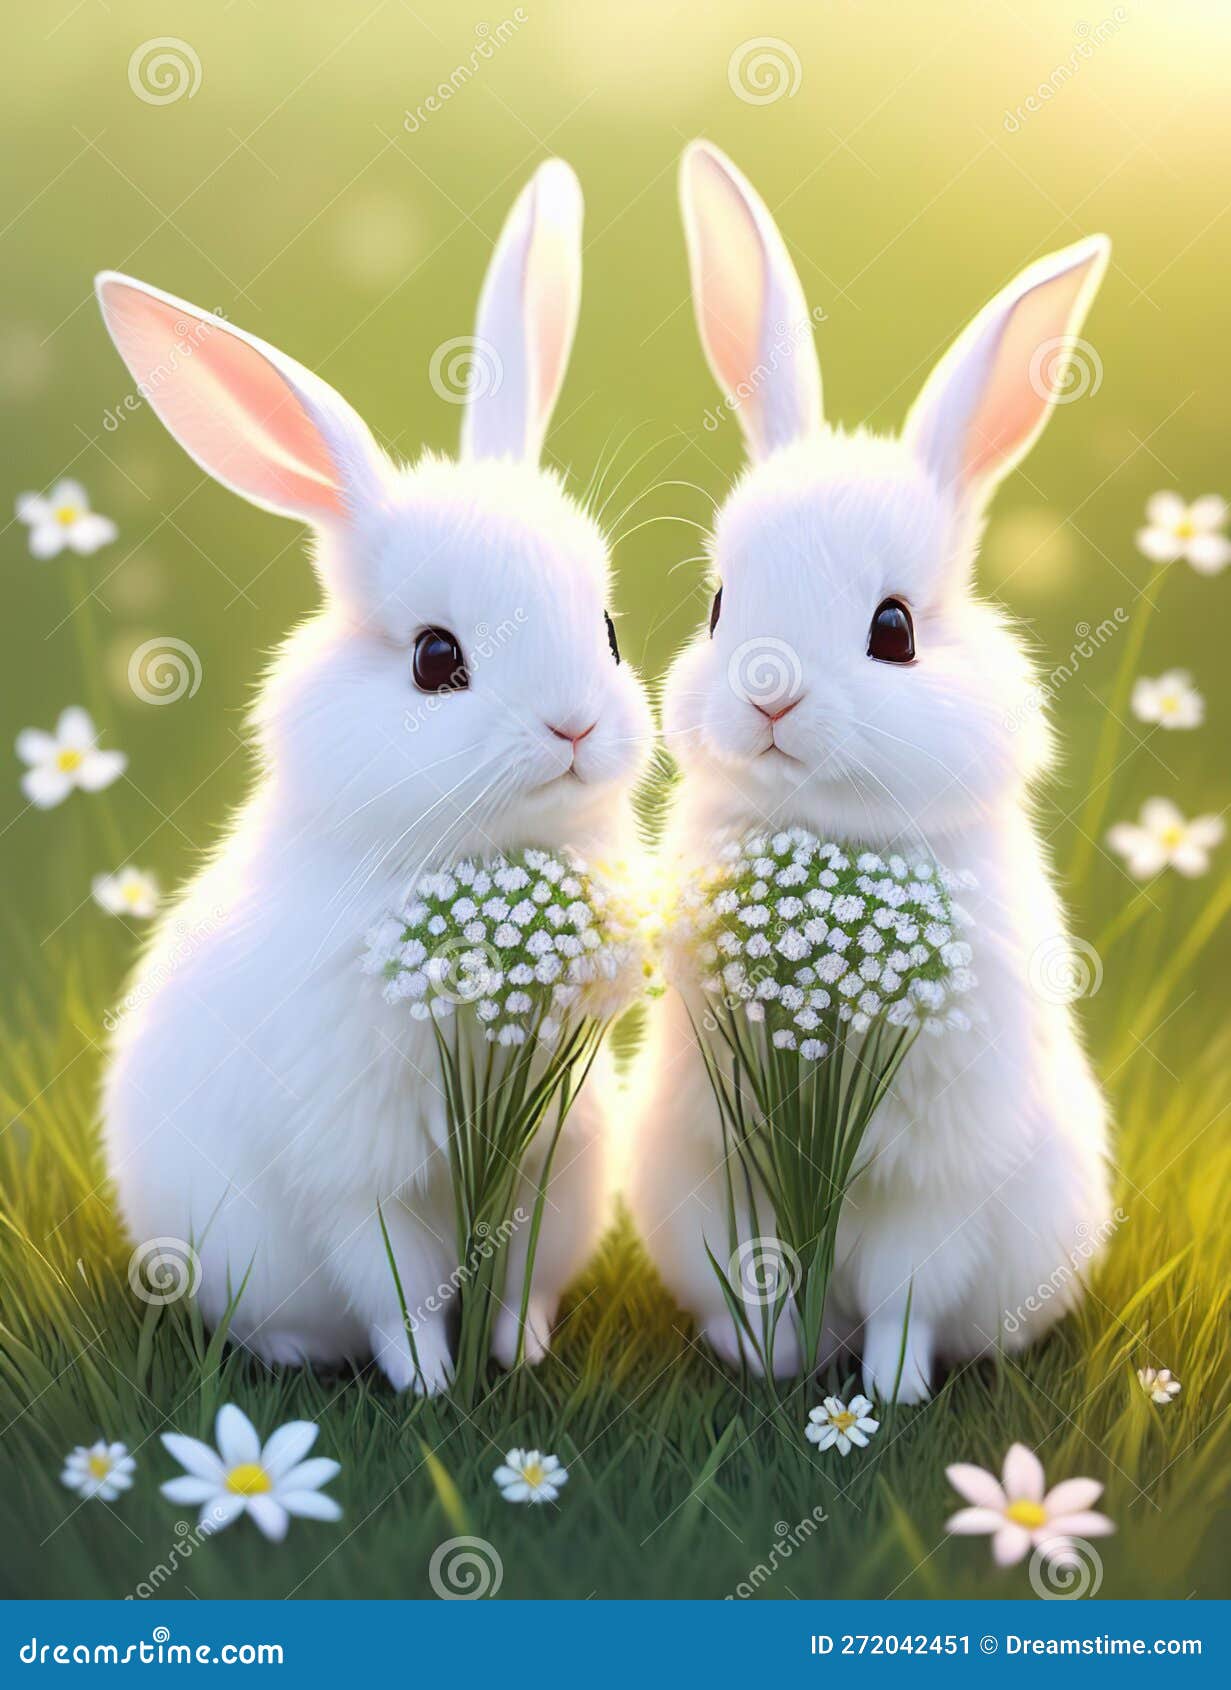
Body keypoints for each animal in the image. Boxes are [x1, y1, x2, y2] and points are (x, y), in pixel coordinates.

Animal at [97, 159, 653, 1394]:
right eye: (435, 659)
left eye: (607, 630)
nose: (575, 725)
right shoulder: (353, 1164)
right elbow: (394, 1288)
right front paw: (433, 1388)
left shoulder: (554, 1149)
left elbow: (518, 1271)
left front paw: (517, 1355)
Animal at [629, 141, 1113, 1402]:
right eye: (718, 604)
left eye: (893, 628)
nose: (767, 697)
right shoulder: (732, 1164)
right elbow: (765, 1275)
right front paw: (770, 1366)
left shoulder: (935, 1181)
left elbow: (905, 1295)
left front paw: (889, 1395)